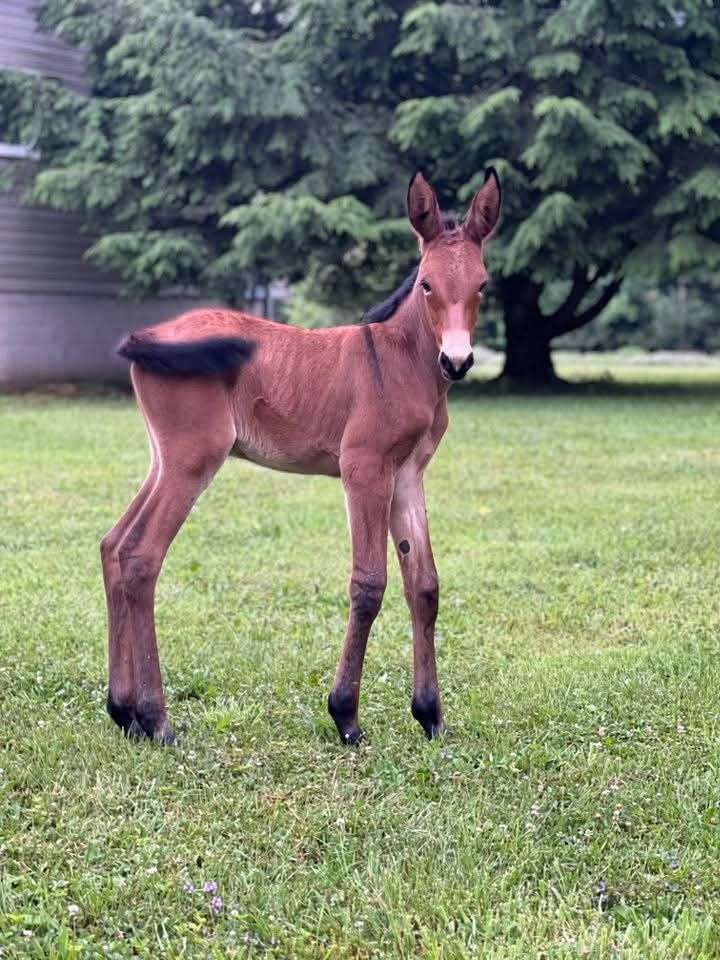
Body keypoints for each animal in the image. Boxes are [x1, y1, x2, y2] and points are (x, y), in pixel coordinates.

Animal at [101, 168, 502, 746]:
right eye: (426, 283)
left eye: (482, 285)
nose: (458, 360)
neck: (399, 361)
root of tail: (147, 335)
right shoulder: (364, 470)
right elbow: (369, 584)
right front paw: (346, 715)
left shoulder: (407, 475)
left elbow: (424, 585)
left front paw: (430, 715)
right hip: (192, 461)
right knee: (140, 556)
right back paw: (156, 718)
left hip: (164, 460)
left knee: (113, 546)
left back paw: (123, 711)